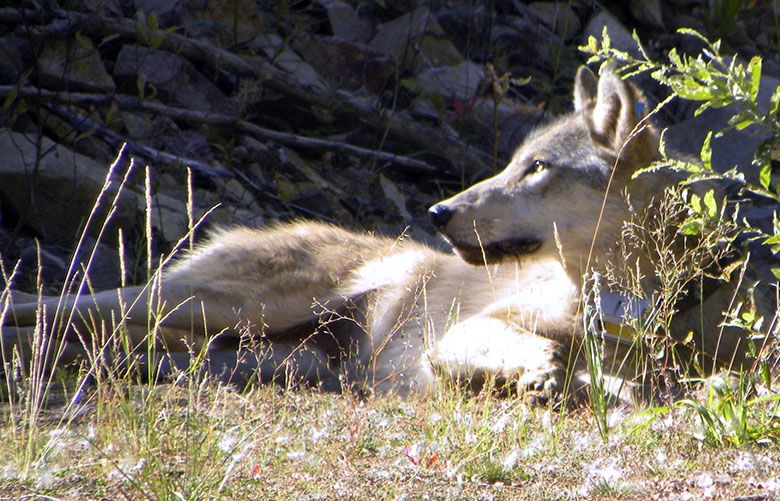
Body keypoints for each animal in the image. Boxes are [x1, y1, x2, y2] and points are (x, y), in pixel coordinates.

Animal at [2, 65, 775, 402]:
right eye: (513, 162)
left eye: (536, 168)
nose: (437, 213)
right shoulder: (453, 338)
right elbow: (536, 353)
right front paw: (540, 370)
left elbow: (637, 386)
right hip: (207, 304)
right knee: (61, 306)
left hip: (261, 355)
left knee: (113, 346)